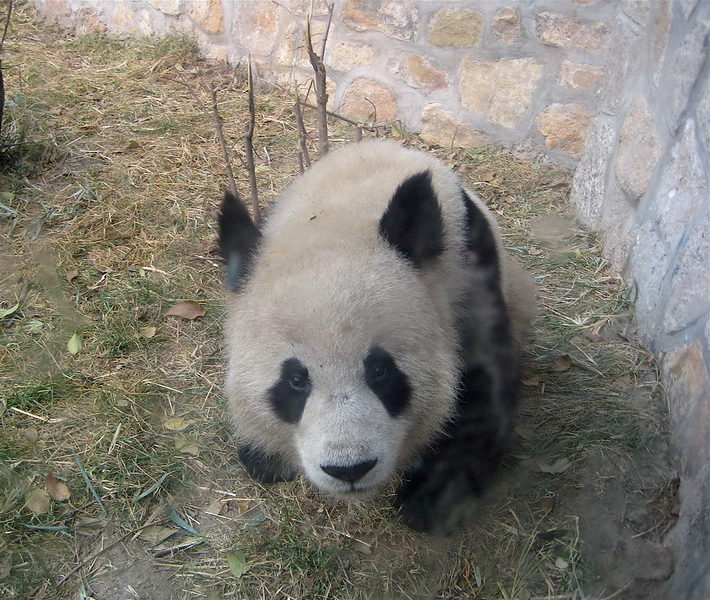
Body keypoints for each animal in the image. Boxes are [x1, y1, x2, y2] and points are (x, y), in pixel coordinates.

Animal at [218, 140, 534, 534]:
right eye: (295, 380)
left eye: (380, 370)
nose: (349, 469)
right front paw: (264, 456)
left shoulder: (467, 280)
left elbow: (482, 392)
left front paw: (427, 498)